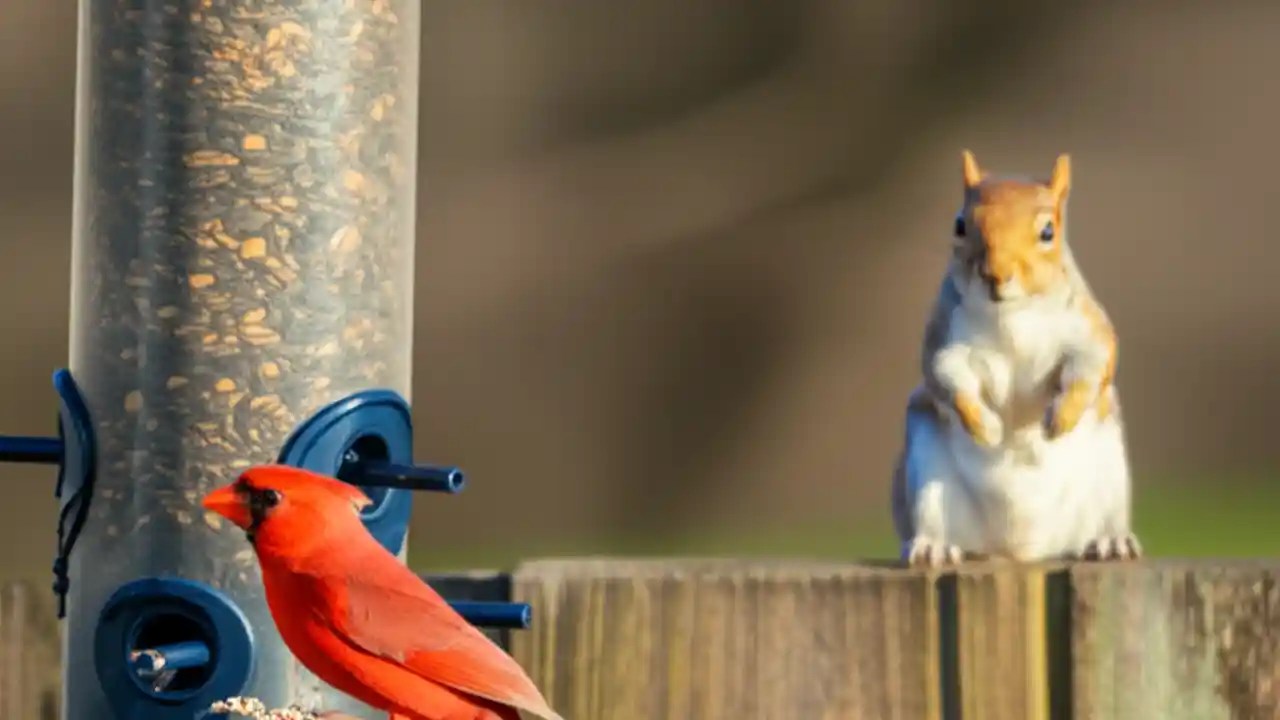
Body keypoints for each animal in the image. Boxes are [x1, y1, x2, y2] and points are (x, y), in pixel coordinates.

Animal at [890, 150, 1141, 566]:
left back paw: (1110, 542)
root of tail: (1020, 551)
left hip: (1109, 472)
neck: (1013, 315)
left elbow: (1092, 366)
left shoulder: (1089, 329)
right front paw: (987, 428)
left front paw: (1060, 417)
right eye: (960, 225)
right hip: (925, 474)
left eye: (1048, 232)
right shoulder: (945, 341)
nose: (996, 274)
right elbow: (948, 380)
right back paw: (931, 546)